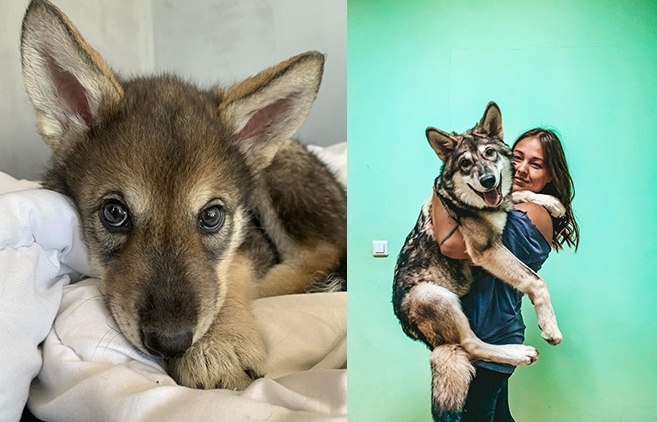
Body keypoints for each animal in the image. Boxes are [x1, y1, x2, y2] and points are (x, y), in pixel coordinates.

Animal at [20, 0, 346, 390]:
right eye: (115, 213)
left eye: (211, 216)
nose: (170, 342)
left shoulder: (250, 244)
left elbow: (230, 271)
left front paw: (219, 343)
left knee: (323, 252)